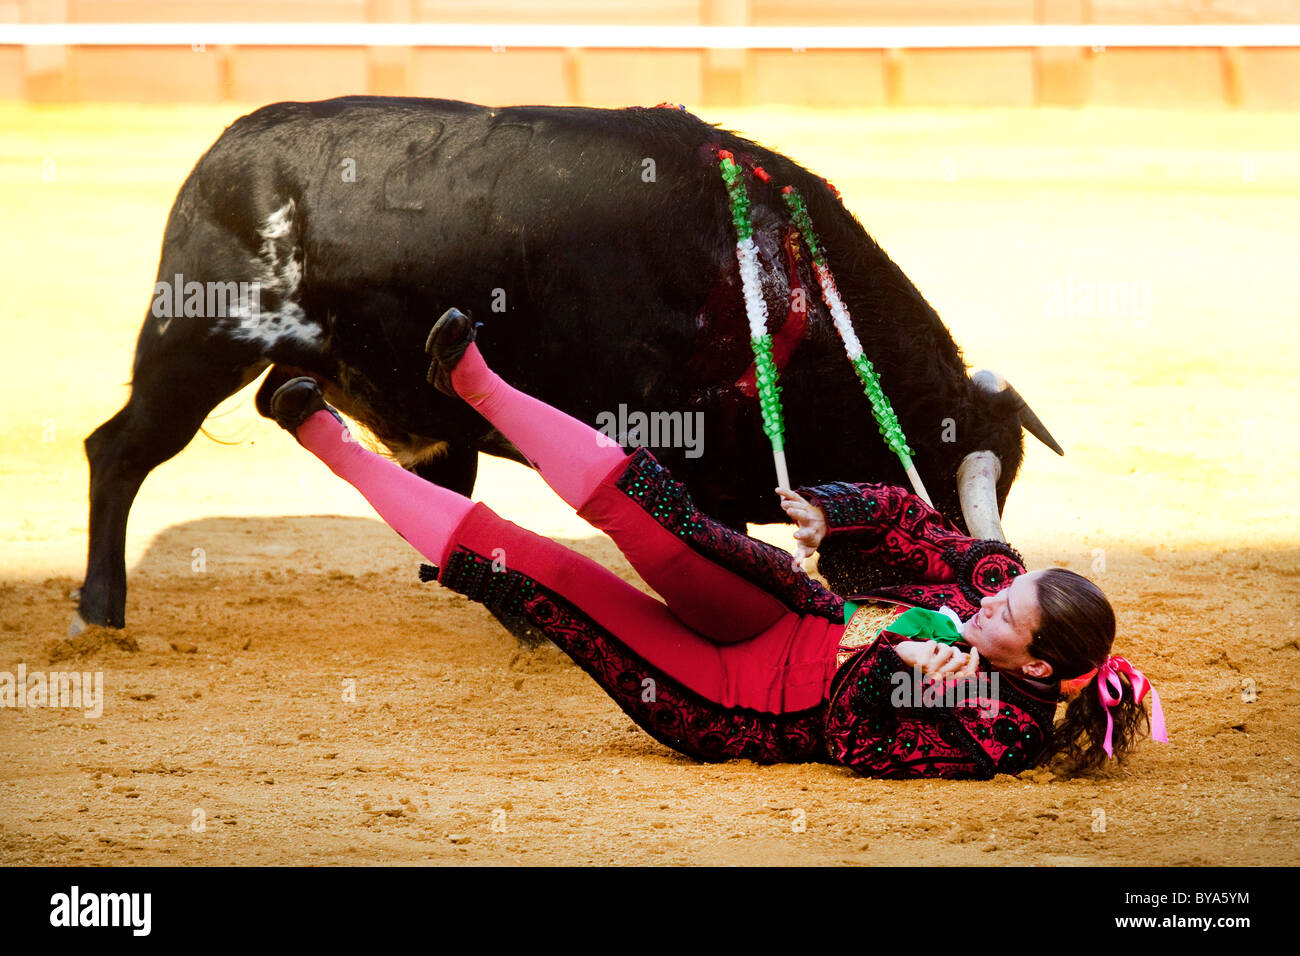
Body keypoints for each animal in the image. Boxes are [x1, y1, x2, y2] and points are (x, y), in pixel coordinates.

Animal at [73, 95, 1061, 635]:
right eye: (943, 487)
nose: (985, 590)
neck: (770, 285)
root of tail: (226, 148)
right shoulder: (665, 443)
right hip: (197, 341)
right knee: (118, 451)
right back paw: (99, 614)